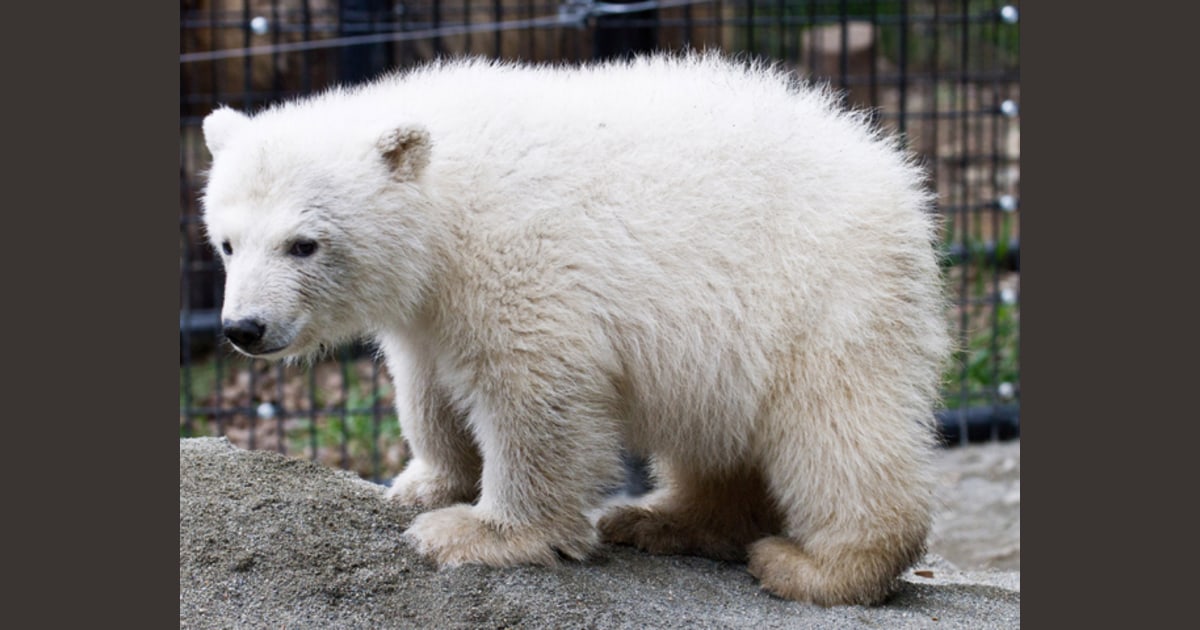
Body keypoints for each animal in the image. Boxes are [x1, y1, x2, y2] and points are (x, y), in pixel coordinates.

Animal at [200, 54, 951, 607]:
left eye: (304, 244)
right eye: (227, 242)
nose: (244, 327)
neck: (447, 196)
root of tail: (899, 175)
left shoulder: (519, 260)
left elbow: (534, 398)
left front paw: (475, 533)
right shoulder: (429, 301)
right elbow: (425, 382)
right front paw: (427, 482)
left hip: (821, 297)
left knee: (836, 430)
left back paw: (819, 567)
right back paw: (663, 520)